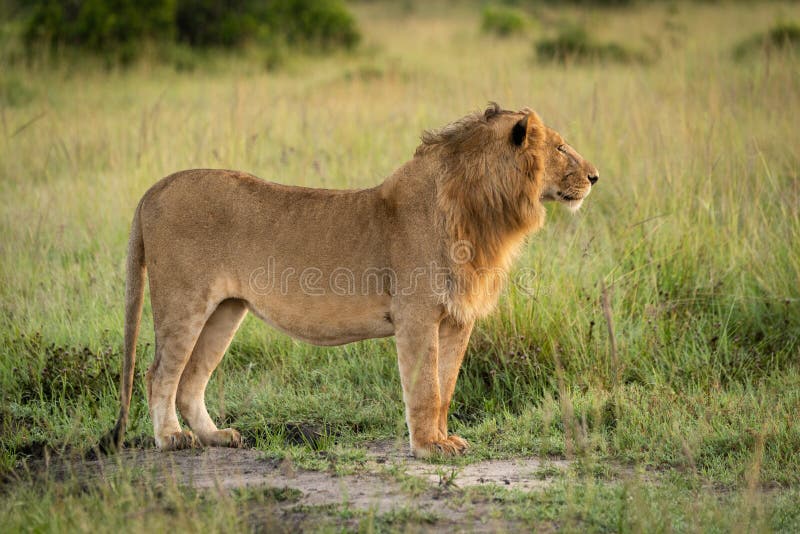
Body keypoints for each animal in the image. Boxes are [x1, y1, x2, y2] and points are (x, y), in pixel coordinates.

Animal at [104, 103, 598, 458]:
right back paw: (170, 438)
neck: (484, 212)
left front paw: (445, 439)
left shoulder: (458, 320)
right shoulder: (417, 315)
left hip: (225, 310)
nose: (595, 176)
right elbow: (425, 387)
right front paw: (428, 448)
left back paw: (215, 437)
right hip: (183, 301)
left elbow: (446, 386)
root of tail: (154, 188)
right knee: (159, 374)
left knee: (190, 381)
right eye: (559, 148)